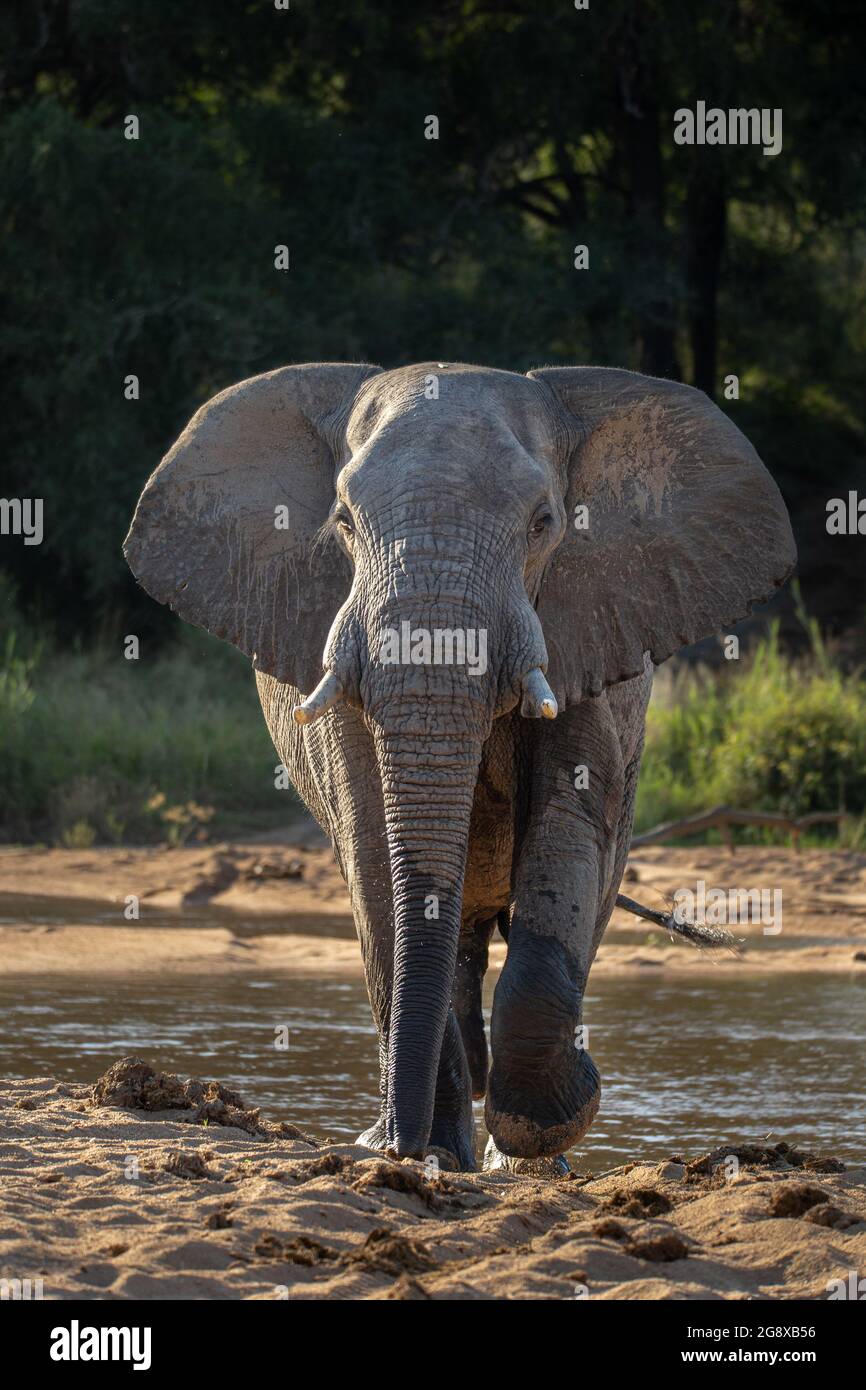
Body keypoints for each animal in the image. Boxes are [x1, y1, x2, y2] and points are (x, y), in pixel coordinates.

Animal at [124, 361, 796, 1172]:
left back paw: (524, 1157)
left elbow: (567, 831)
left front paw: (547, 1123)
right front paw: (430, 1154)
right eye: (343, 522)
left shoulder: (590, 635)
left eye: (544, 523)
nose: (398, 1148)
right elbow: (377, 854)